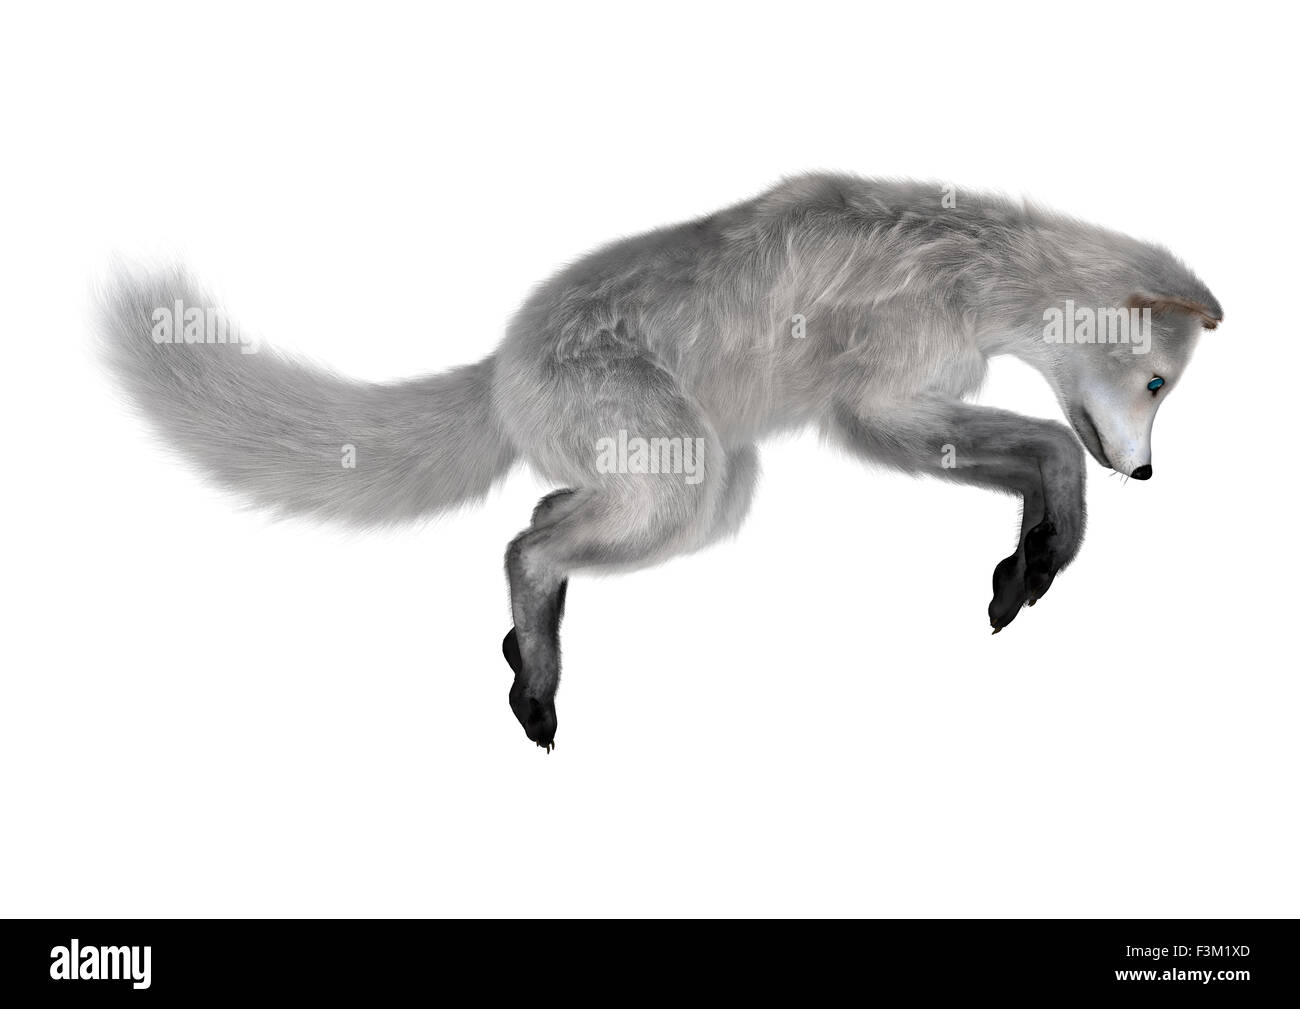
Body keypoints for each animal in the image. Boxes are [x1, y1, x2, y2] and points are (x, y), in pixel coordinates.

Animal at [100, 174, 1222, 751]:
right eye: (1159, 385)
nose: (1148, 478)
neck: (971, 271)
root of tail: (502, 363)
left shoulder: (920, 407)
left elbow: (1045, 462)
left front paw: (1028, 561)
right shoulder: (882, 410)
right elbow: (1052, 450)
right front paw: (1037, 557)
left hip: (692, 486)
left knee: (543, 513)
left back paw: (522, 646)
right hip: (690, 492)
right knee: (525, 545)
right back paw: (536, 685)